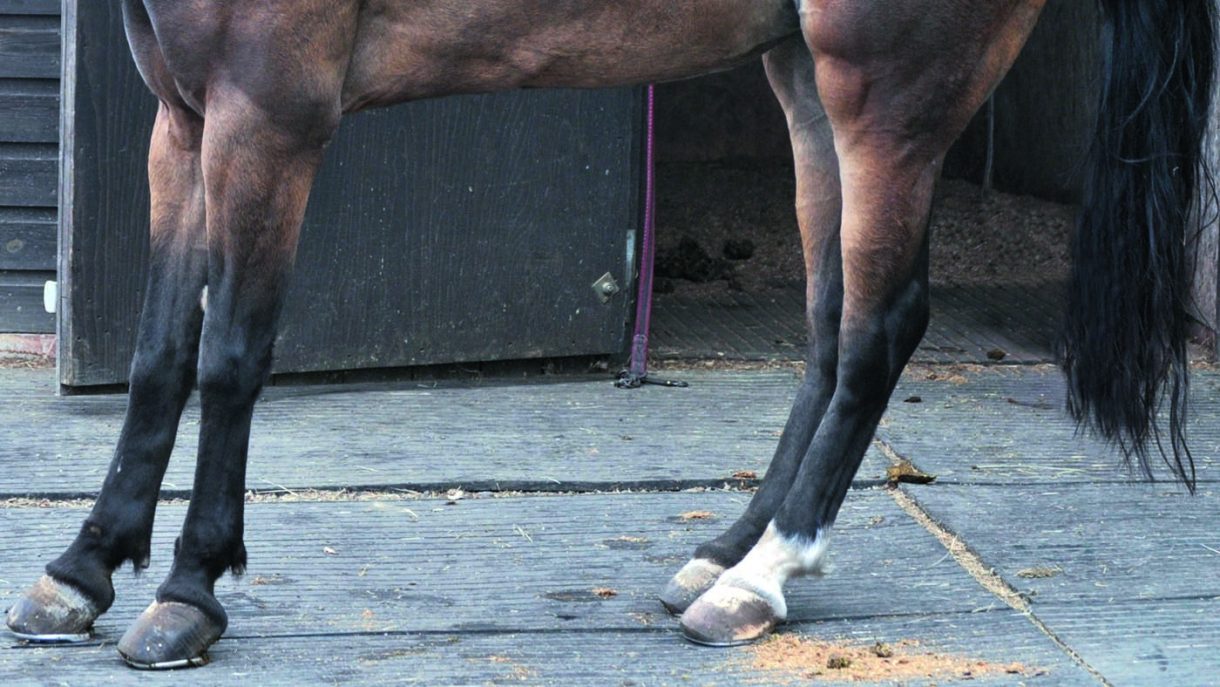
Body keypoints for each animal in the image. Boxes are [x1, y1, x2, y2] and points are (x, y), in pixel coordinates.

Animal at [6, 0, 1215, 669]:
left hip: (888, 97)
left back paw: (762, 578)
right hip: (806, 81)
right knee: (829, 324)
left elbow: (228, 360)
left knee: (880, 327)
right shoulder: (184, 121)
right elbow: (156, 360)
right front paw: (81, 570)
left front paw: (186, 594)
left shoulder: (266, 118)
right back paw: (726, 553)